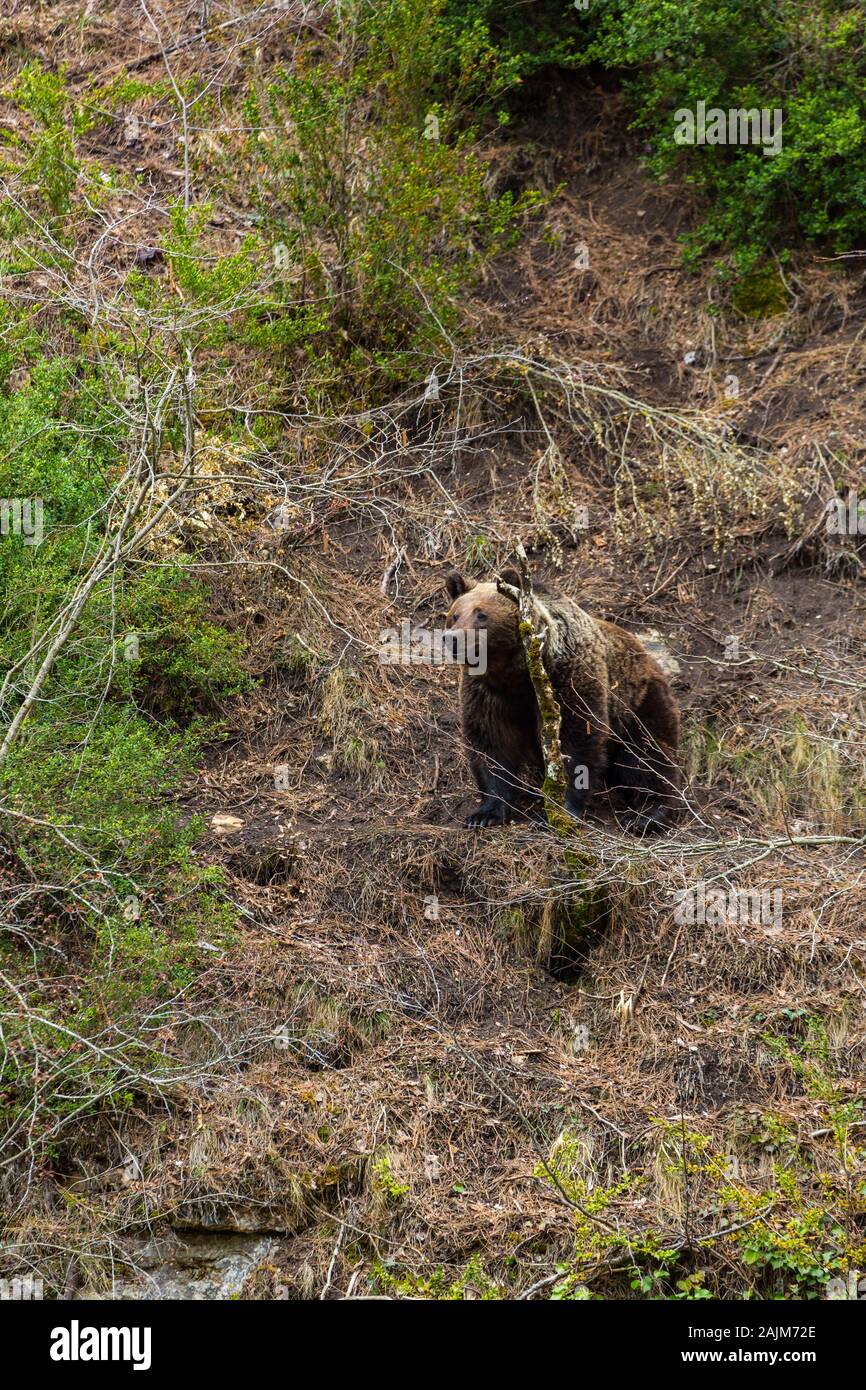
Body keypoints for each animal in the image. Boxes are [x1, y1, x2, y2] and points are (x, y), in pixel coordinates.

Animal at [443, 568, 681, 833]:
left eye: (481, 614)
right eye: (455, 615)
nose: (452, 638)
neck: (516, 675)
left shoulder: (566, 680)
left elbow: (575, 741)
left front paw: (557, 813)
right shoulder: (489, 695)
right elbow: (492, 744)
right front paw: (485, 813)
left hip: (637, 703)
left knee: (646, 755)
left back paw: (646, 814)